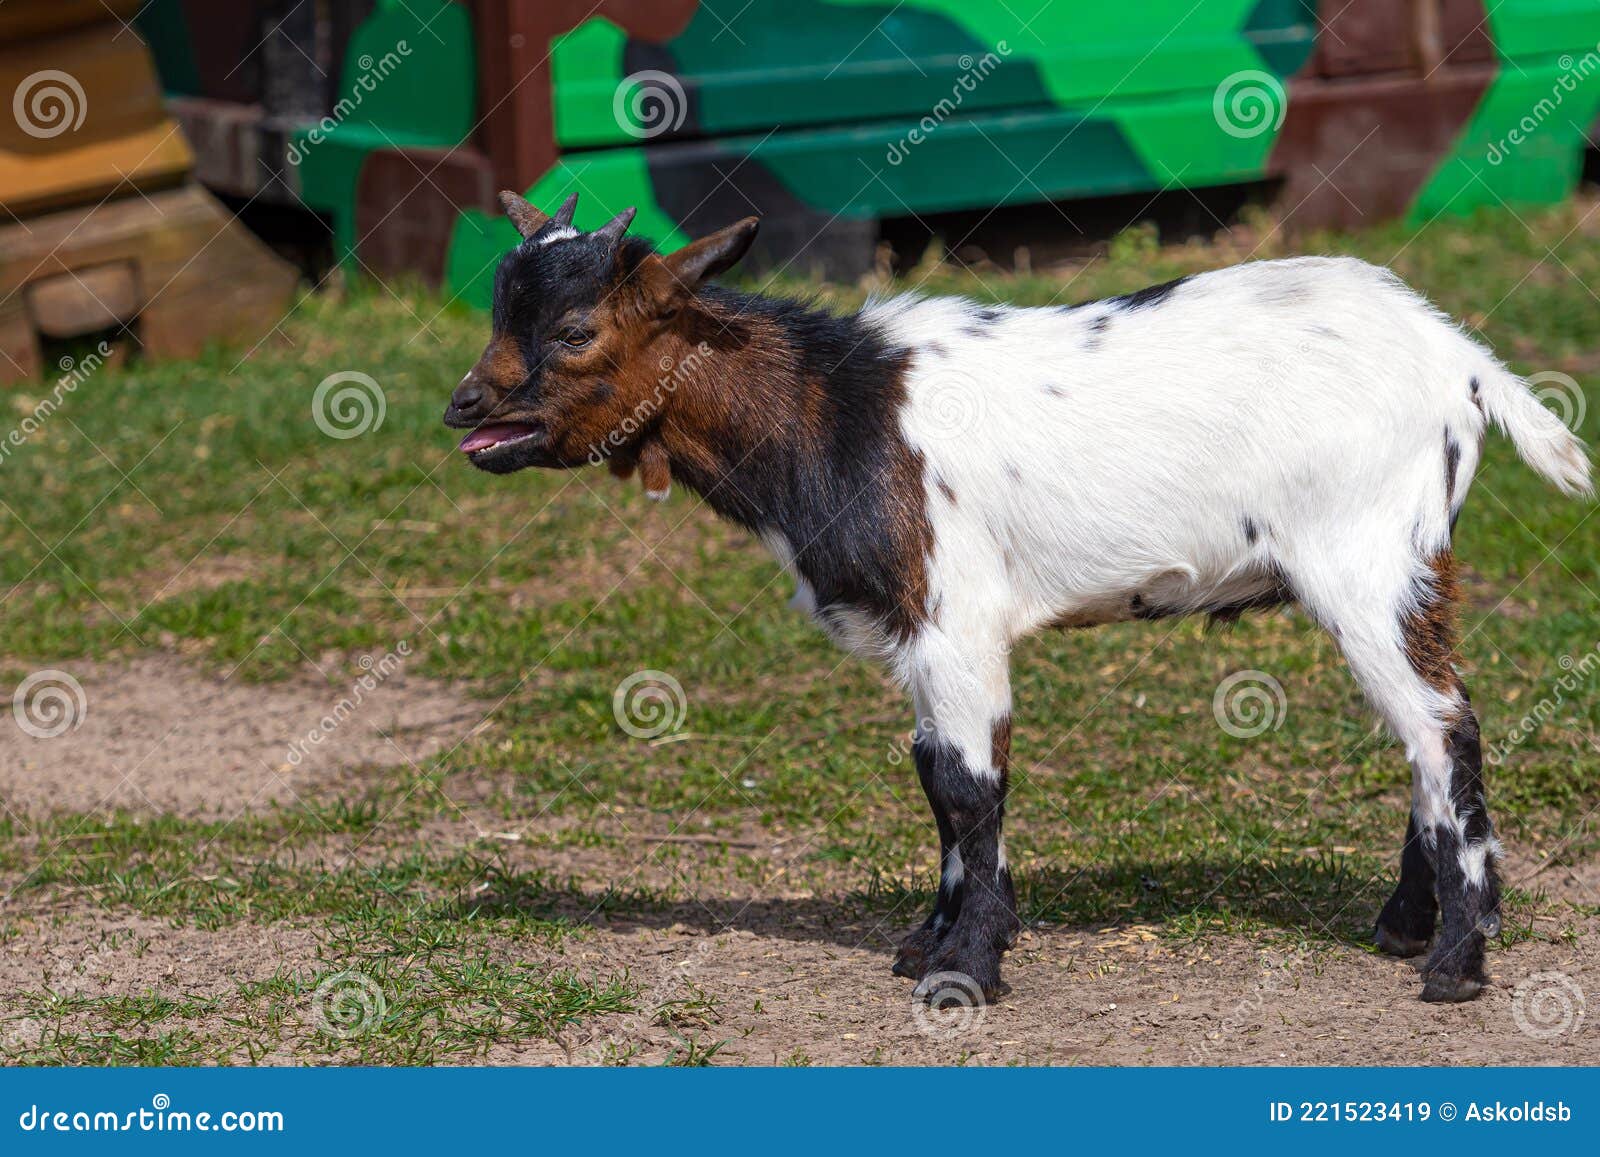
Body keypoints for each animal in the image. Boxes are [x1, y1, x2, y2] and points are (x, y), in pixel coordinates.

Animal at [444, 191, 1593, 1005]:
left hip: (1367, 558)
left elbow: (967, 785)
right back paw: (1406, 923)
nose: (465, 406)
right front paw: (926, 942)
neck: (831, 408)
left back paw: (1454, 961)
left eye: (576, 328)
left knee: (1442, 726)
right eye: (501, 309)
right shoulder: (918, 636)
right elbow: (934, 782)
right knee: (1428, 725)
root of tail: (1457, 355)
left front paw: (966, 968)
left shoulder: (955, 621)